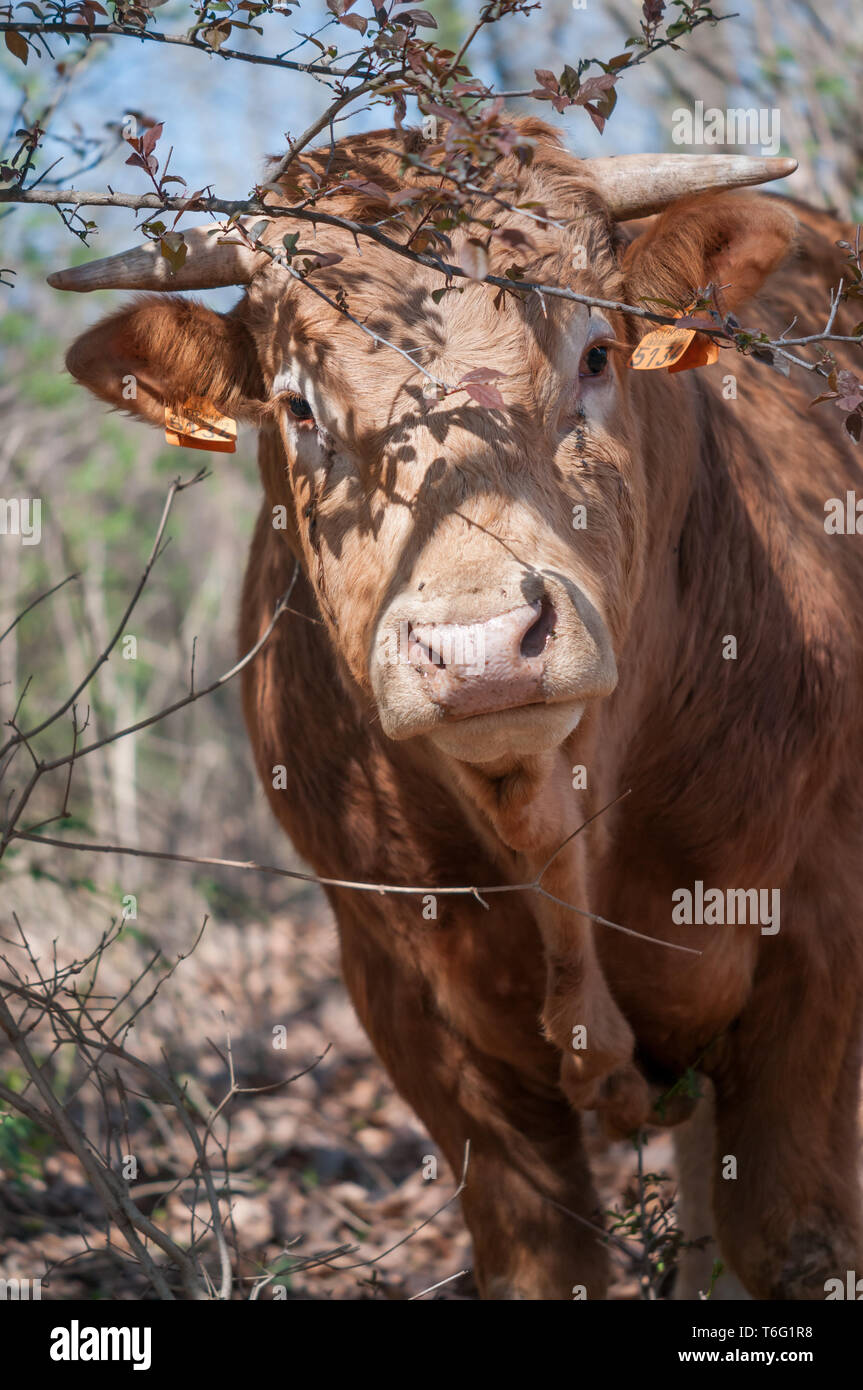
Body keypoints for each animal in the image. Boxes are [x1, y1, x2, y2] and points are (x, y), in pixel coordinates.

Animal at [50, 119, 863, 1300]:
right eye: (298, 407)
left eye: (594, 355)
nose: (478, 646)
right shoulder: (405, 991)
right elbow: (541, 1256)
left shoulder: (819, 932)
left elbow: (792, 1235)